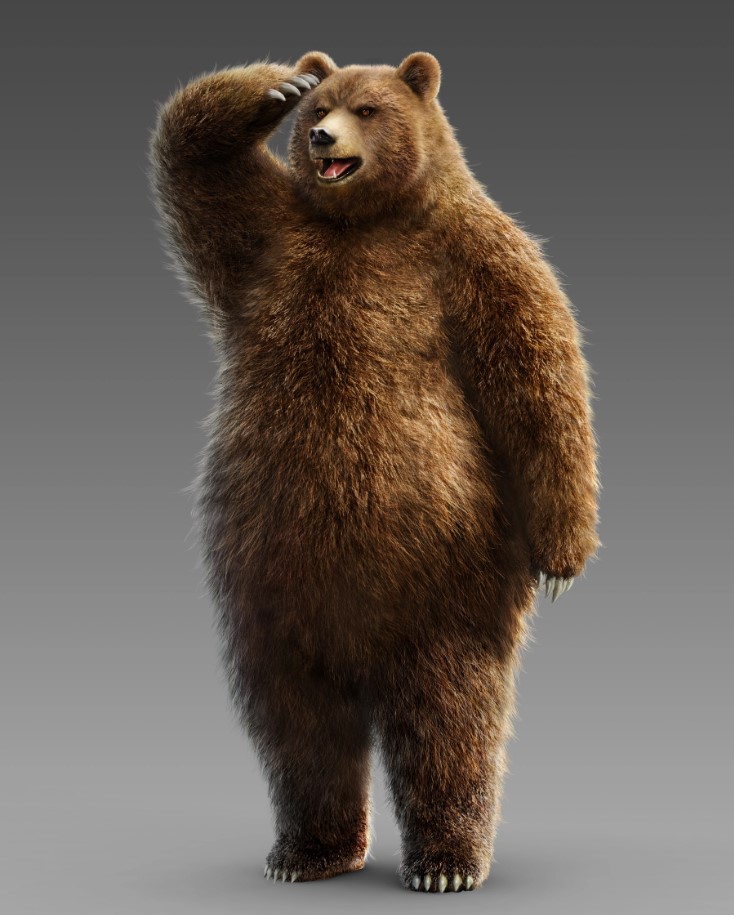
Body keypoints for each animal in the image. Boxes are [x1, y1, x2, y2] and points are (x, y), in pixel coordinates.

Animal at [148, 50, 600, 893]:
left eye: (369, 107)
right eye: (322, 105)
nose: (321, 132)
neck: (365, 220)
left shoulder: (475, 255)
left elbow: (536, 368)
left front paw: (562, 559)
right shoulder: (270, 237)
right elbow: (192, 166)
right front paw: (274, 85)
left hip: (448, 577)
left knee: (449, 709)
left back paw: (446, 862)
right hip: (267, 583)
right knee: (295, 716)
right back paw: (306, 850)